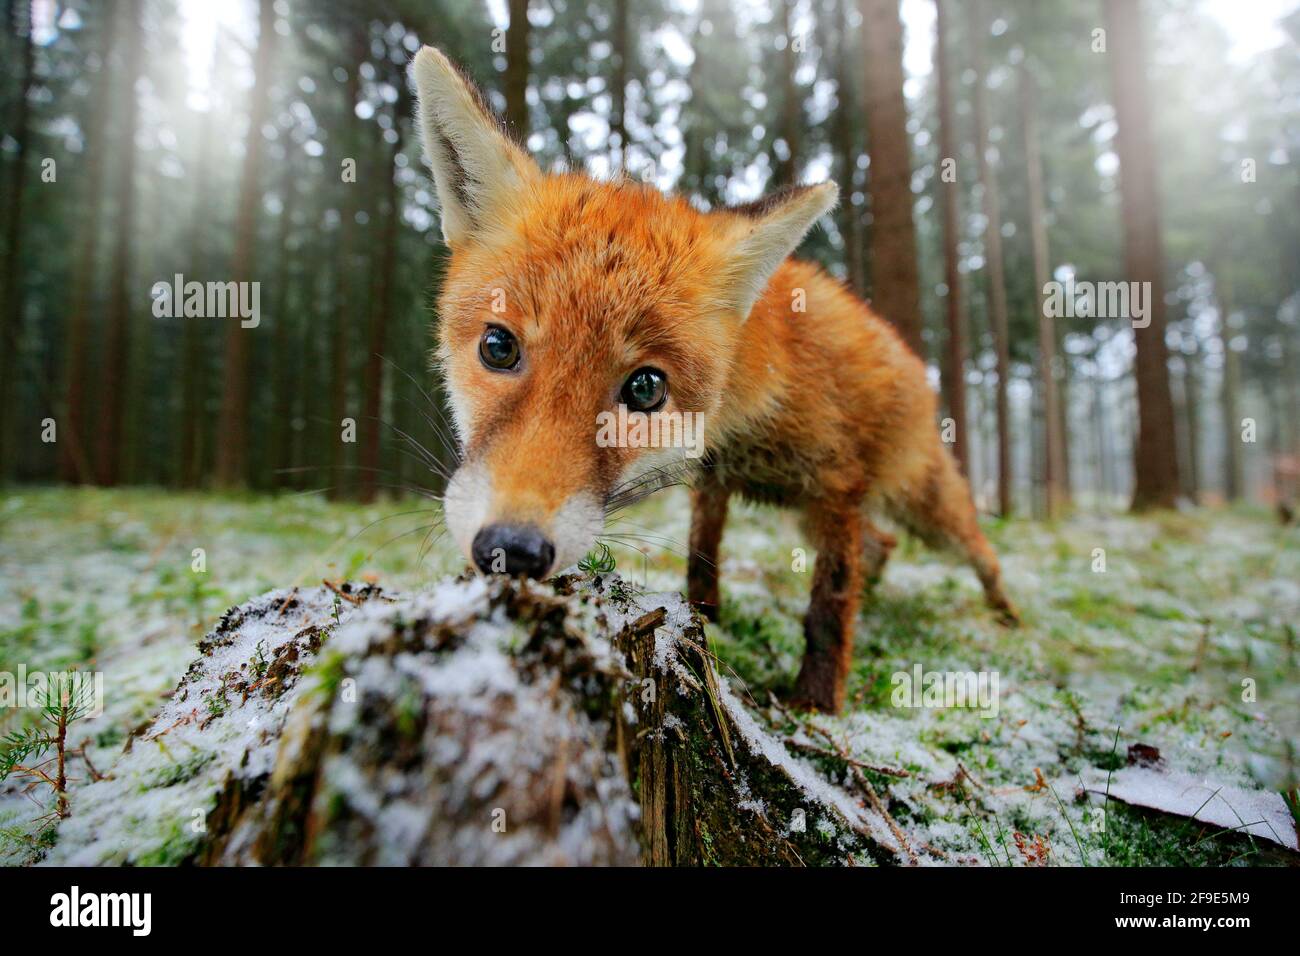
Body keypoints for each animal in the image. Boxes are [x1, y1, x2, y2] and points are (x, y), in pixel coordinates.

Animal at [409, 46, 1018, 713]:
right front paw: (706, 614)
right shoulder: (717, 480)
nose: (510, 549)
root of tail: (911, 357)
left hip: (922, 502)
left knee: (976, 548)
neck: (744, 417)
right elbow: (704, 554)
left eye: (645, 389)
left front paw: (818, 702)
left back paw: (1006, 615)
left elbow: (829, 604)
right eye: (498, 347)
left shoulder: (838, 484)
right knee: (882, 543)